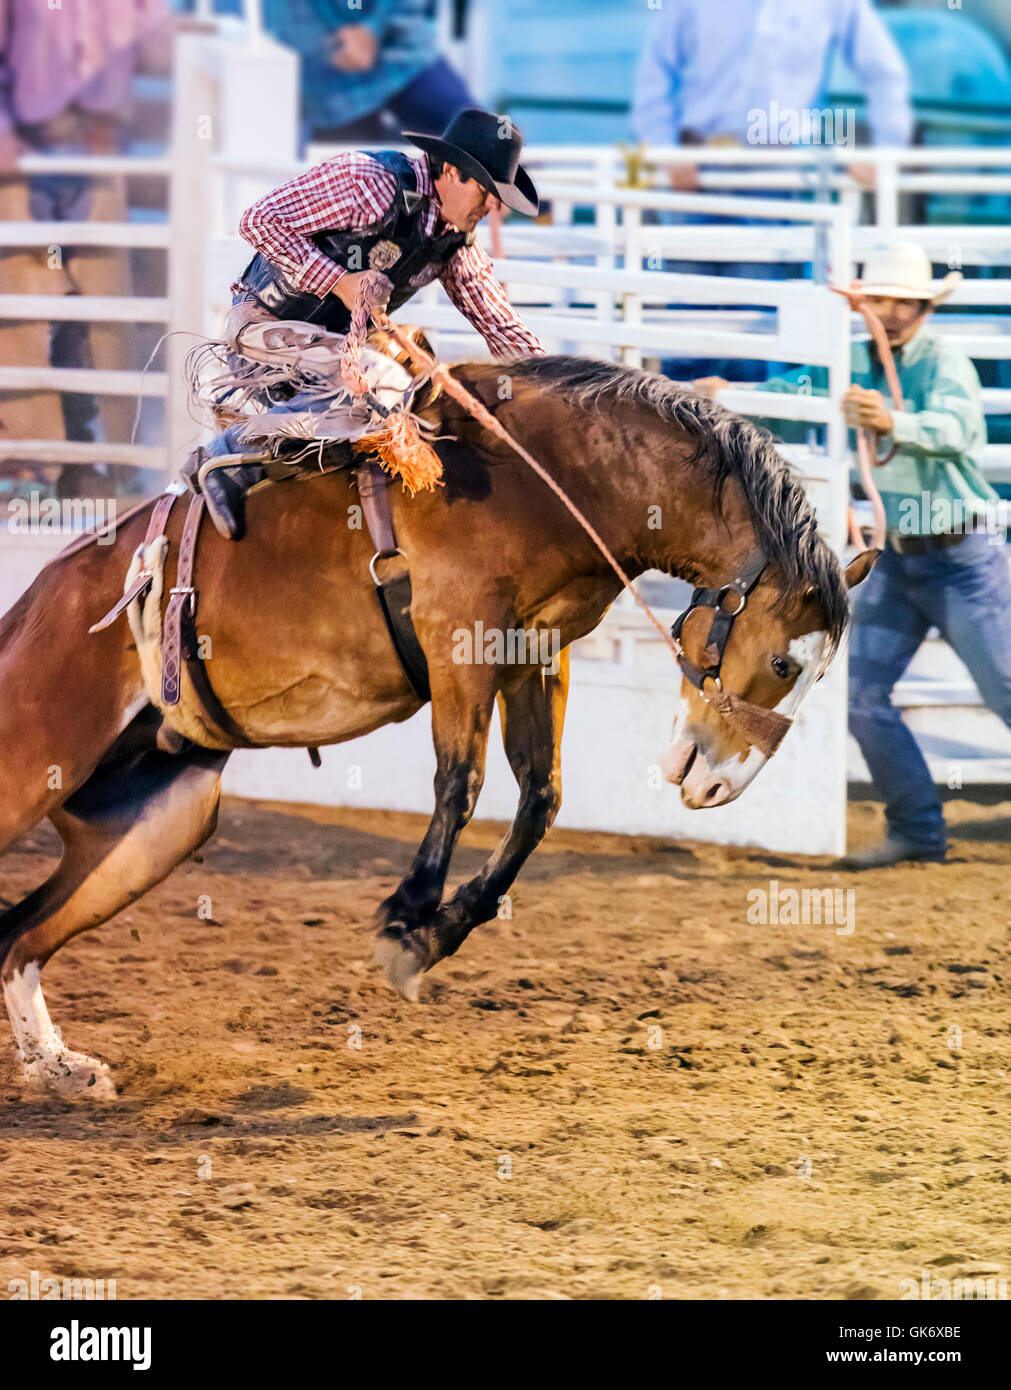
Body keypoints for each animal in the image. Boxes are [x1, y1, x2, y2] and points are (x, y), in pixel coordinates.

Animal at [0, 354, 875, 1099]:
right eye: (786, 664)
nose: (721, 784)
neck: (546, 480)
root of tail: (41, 602)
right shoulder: (460, 642)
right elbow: (461, 782)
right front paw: (407, 919)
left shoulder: (534, 657)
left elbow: (539, 799)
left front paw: (436, 934)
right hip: (32, 769)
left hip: (162, 822)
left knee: (15, 936)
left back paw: (59, 1067)